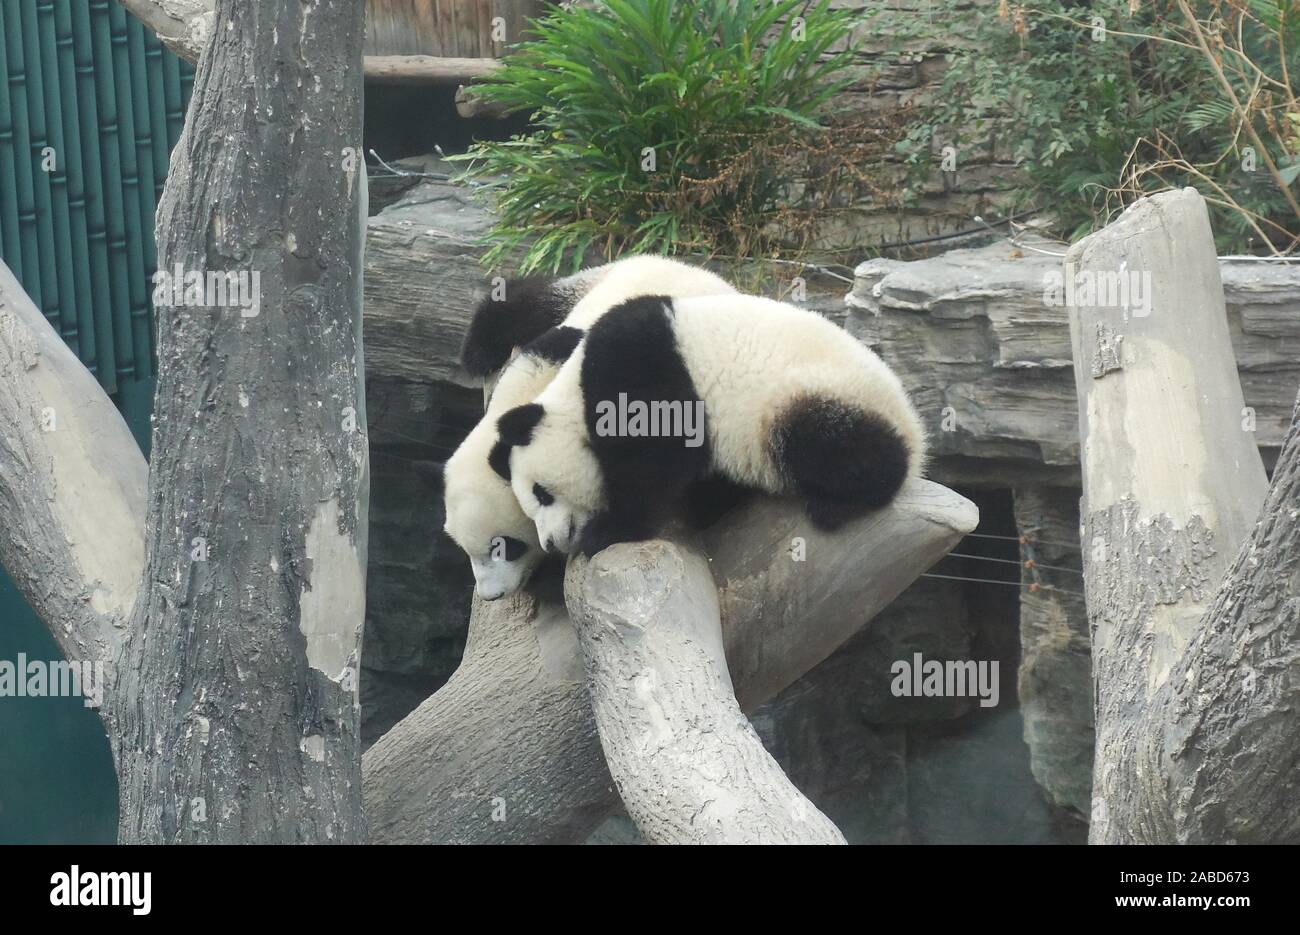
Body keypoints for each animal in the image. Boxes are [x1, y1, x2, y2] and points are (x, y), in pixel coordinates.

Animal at [495, 292, 926, 558]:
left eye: (541, 493)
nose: (551, 544)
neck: (574, 397)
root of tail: (916, 433)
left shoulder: (638, 373)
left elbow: (652, 466)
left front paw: (606, 532)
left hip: (813, 396)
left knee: (832, 445)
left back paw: (838, 503)